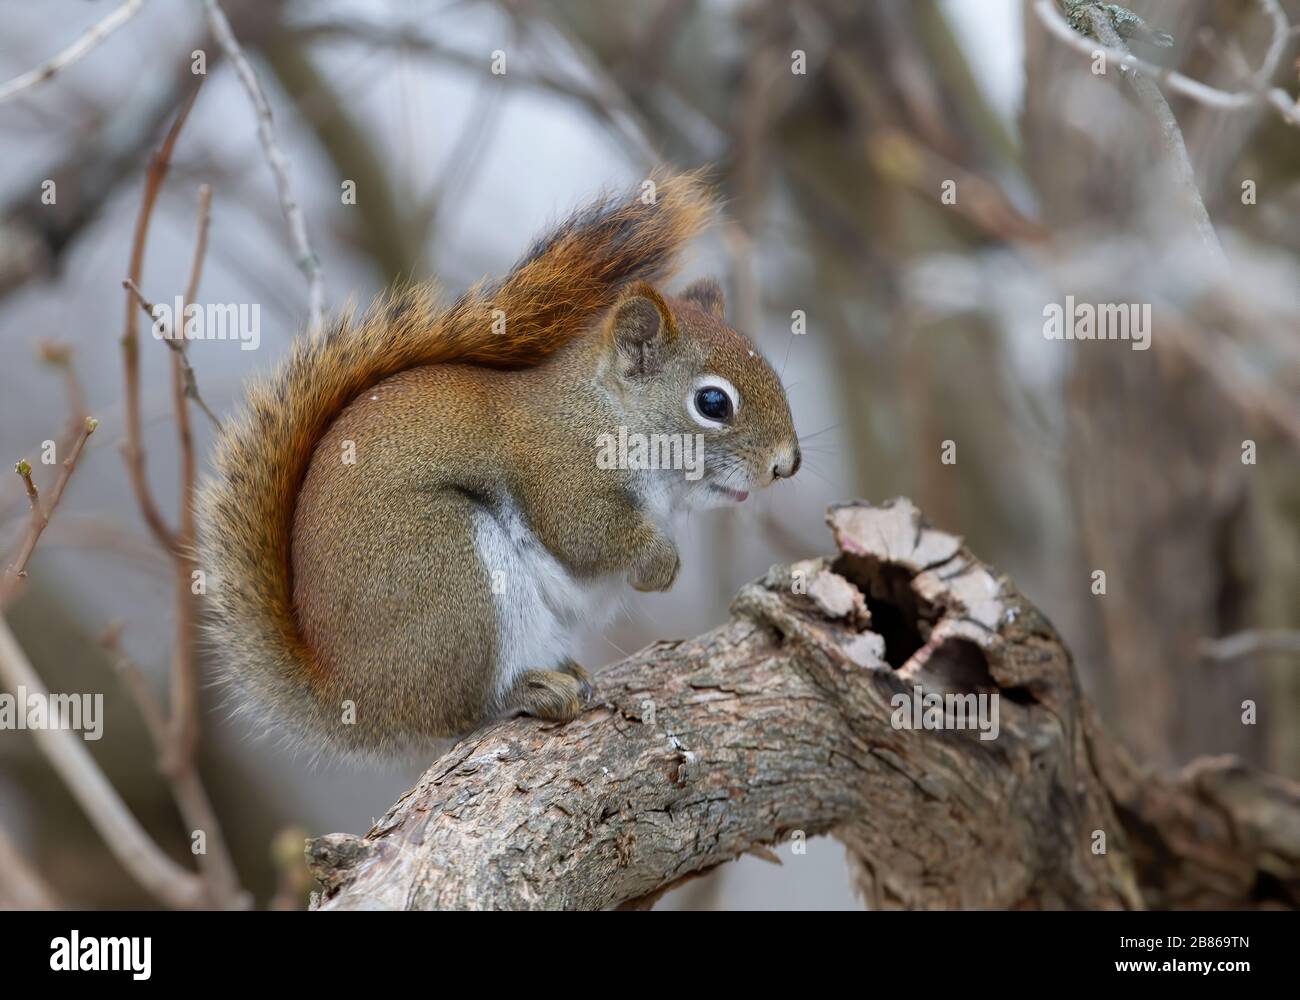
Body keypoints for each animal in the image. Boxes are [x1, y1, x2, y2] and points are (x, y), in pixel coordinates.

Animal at [197, 171, 800, 759]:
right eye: (712, 402)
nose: (787, 464)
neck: (604, 413)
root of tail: (352, 694)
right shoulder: (560, 474)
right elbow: (585, 535)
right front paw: (660, 563)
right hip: (450, 571)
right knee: (462, 710)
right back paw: (531, 690)